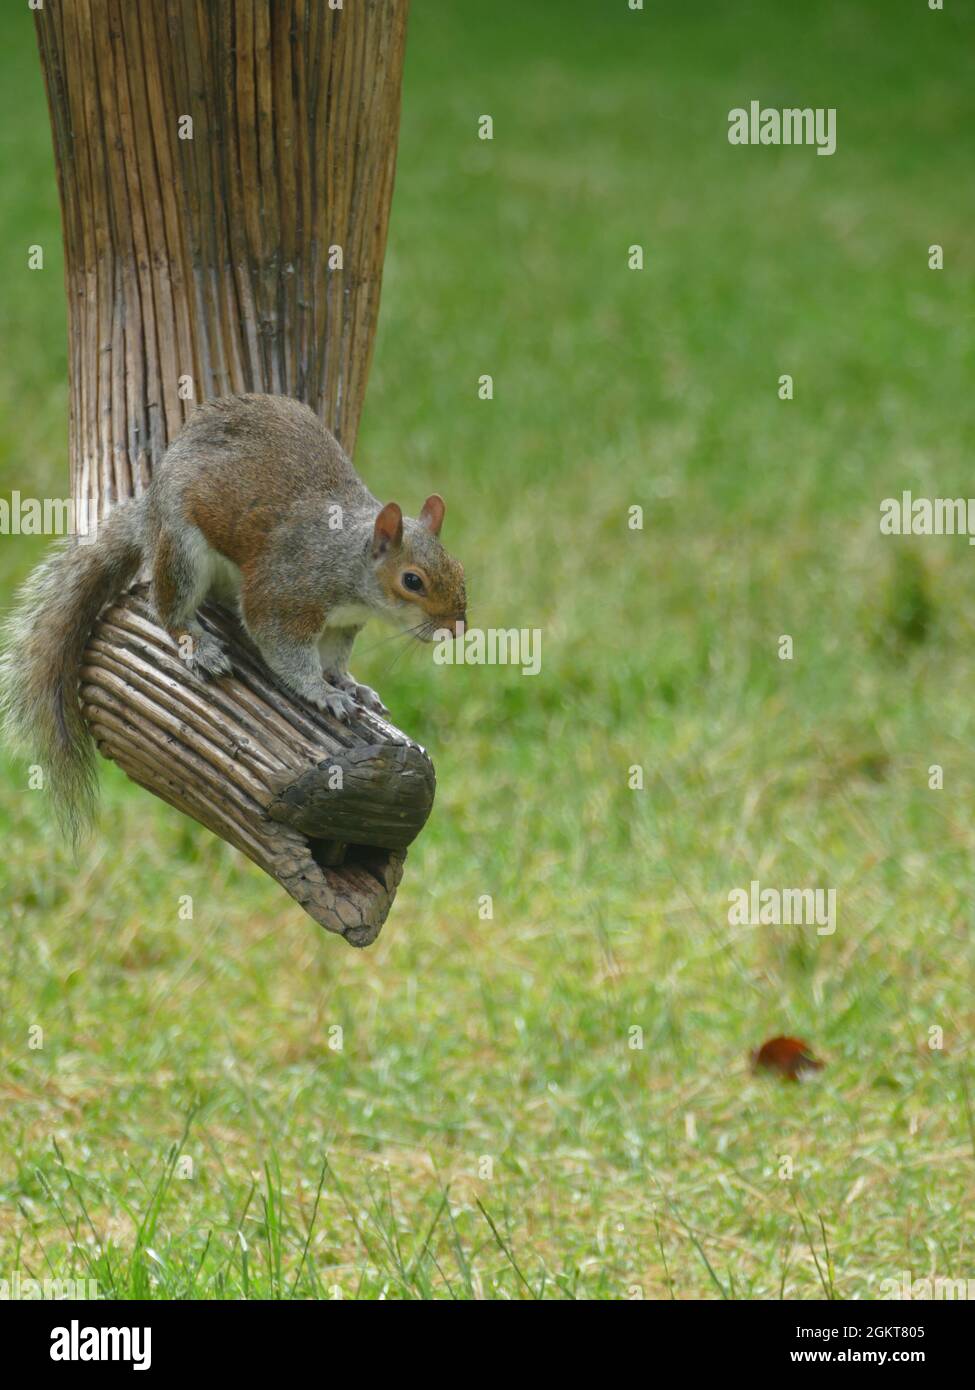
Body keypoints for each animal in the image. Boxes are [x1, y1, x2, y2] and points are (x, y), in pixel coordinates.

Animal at [0, 393, 466, 840]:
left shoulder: (340, 624)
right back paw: (197, 643)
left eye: (460, 568)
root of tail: (151, 507)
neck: (348, 562)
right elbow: (283, 647)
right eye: (412, 581)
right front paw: (322, 692)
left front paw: (350, 685)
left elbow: (334, 659)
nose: (456, 628)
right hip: (183, 549)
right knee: (168, 607)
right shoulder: (283, 592)